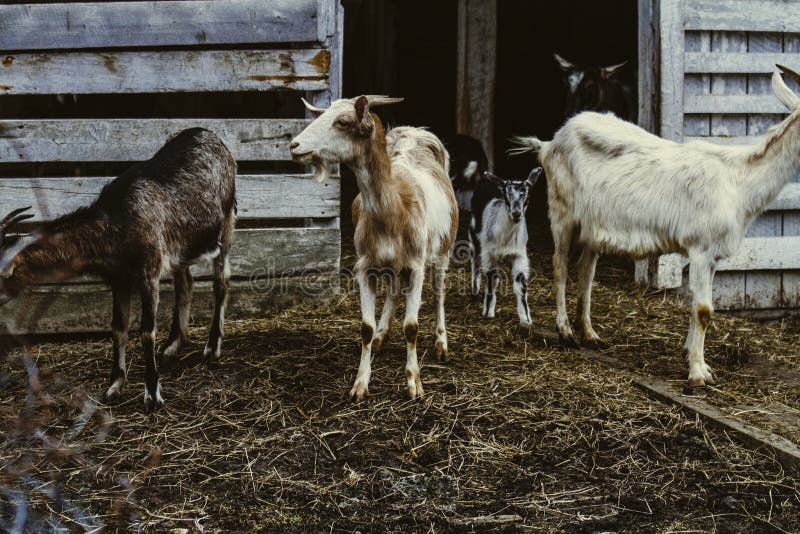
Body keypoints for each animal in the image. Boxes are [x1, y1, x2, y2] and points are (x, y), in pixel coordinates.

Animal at [0, 128, 237, 411]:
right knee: (185, 282)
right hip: (182, 246)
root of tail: (211, 136)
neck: (118, 222)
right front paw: (114, 386)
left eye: (4, 274)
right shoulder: (119, 279)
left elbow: (146, 331)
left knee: (220, 282)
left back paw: (212, 348)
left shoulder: (148, 272)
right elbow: (118, 327)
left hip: (226, 222)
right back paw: (172, 346)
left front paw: (152, 395)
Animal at [290, 95, 458, 401]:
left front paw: (414, 384)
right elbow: (365, 328)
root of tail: (415, 132)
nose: (294, 145)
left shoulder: (416, 265)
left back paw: (441, 344)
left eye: (343, 122)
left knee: (439, 293)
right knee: (393, 289)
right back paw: (382, 335)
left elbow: (412, 327)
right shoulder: (365, 265)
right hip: (392, 264)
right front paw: (360, 384)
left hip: (443, 250)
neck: (394, 209)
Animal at [469, 169, 542, 326]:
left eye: (527, 196)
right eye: (506, 195)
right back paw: (475, 290)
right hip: (473, 234)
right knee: (475, 261)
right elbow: (491, 279)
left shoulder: (519, 255)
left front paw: (526, 319)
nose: (516, 214)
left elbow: (520, 284)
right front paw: (487, 312)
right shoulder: (489, 255)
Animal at [509, 66, 800, 388]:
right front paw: (697, 375)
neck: (739, 181)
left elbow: (699, 307)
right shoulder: (701, 248)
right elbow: (703, 311)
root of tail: (550, 143)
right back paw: (566, 332)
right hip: (563, 211)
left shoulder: (712, 256)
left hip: (593, 225)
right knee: (559, 264)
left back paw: (590, 333)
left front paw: (698, 361)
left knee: (586, 270)